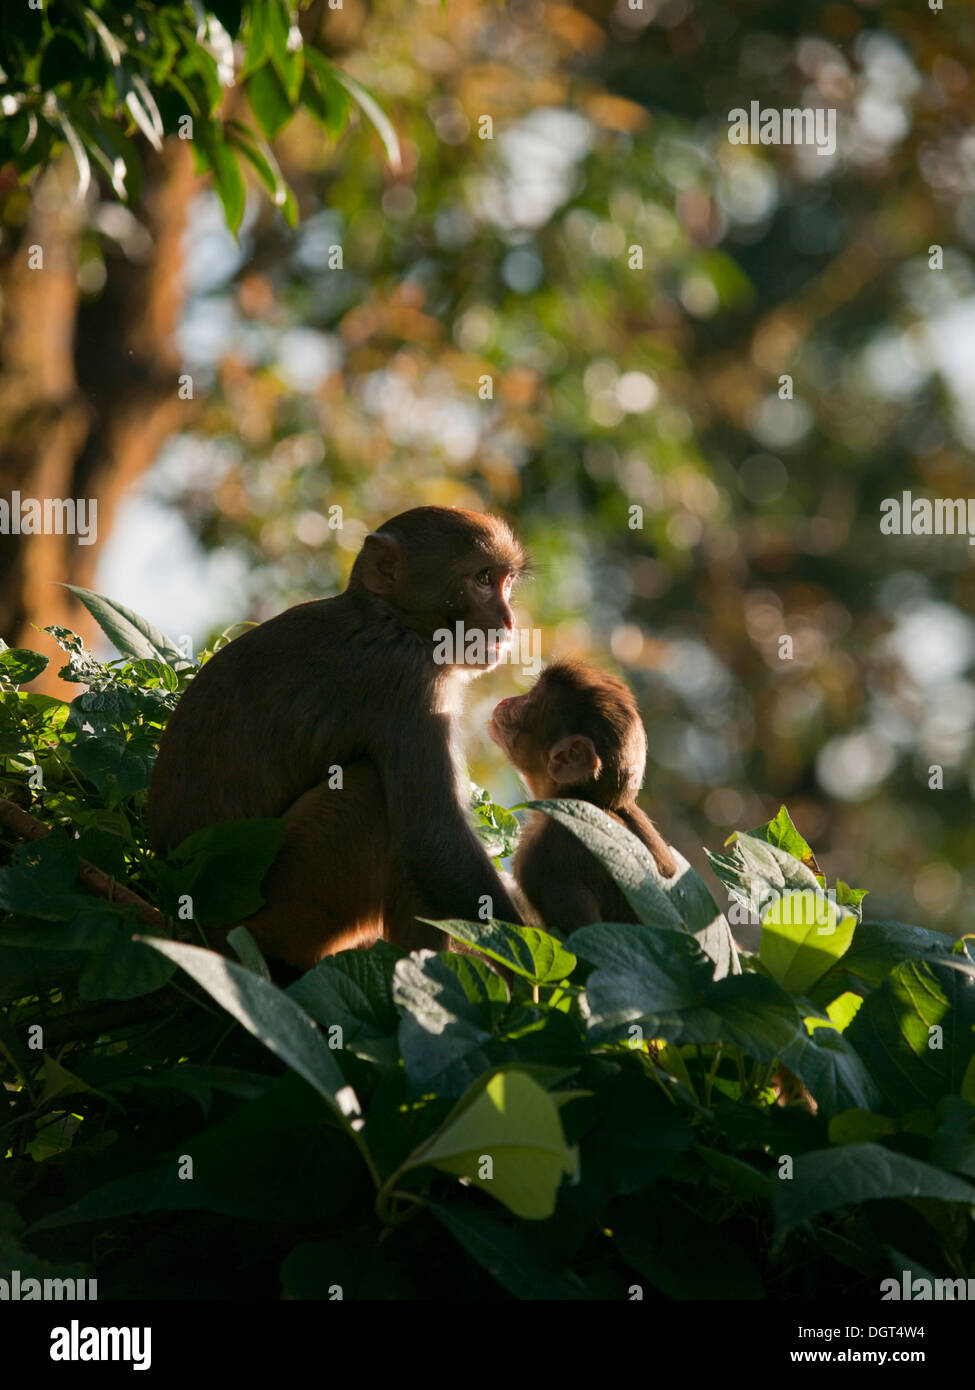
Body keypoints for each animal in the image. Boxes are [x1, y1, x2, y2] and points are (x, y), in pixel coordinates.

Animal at [148, 507, 528, 970]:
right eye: (483, 578)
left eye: (506, 582)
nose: (508, 621)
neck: (389, 616)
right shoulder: (406, 677)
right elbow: (432, 838)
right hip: (280, 911)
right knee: (369, 792)